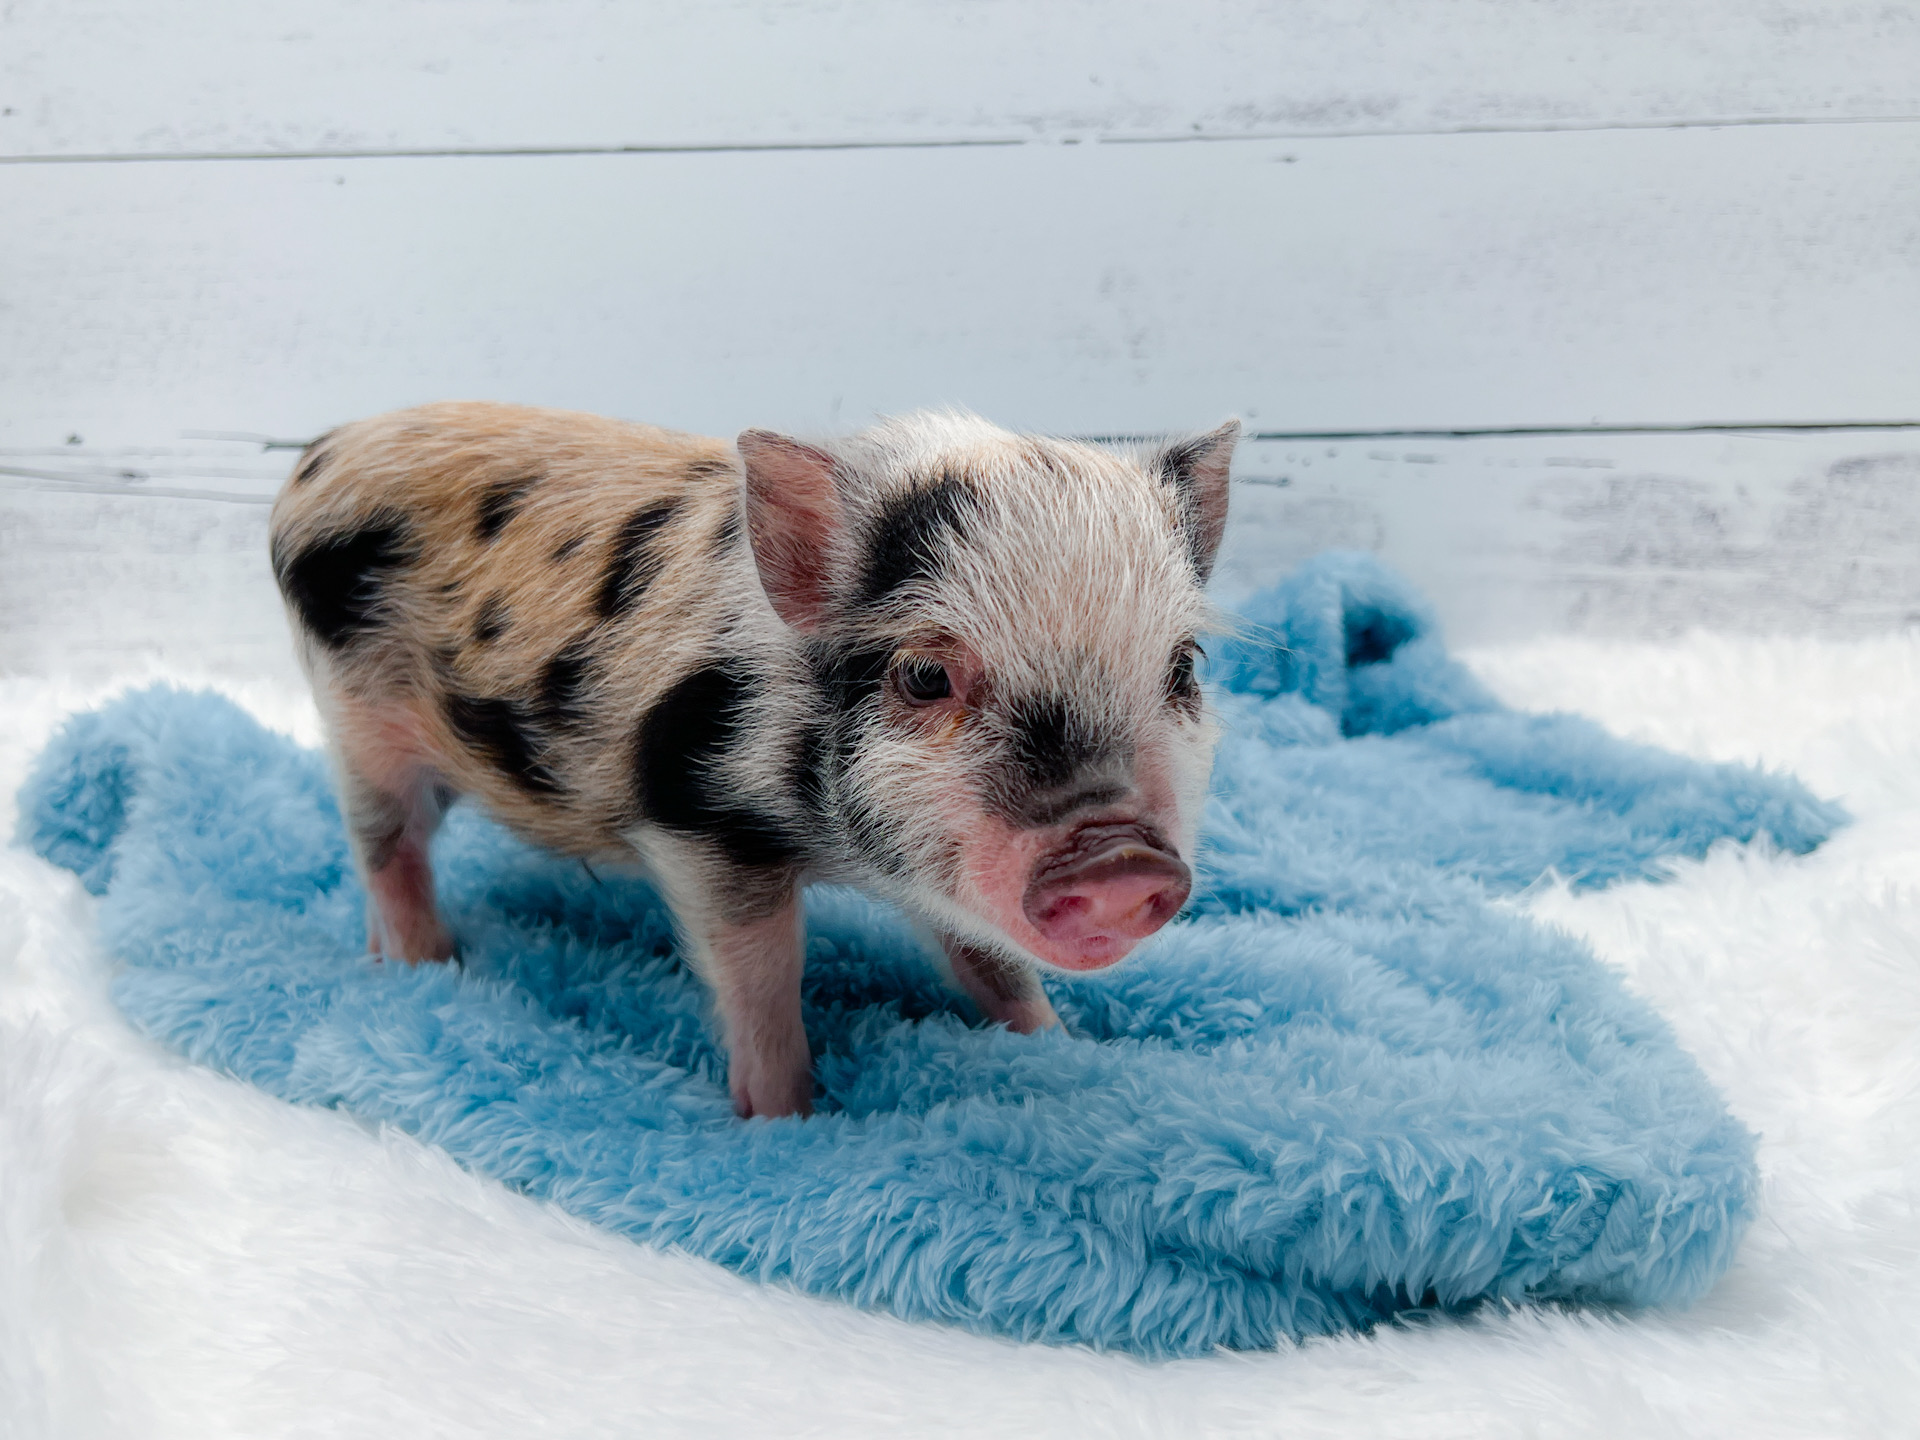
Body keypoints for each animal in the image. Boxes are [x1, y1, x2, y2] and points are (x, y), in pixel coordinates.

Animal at [268, 402, 1237, 1117]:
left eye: (1183, 669)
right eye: (925, 676)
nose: (1118, 855)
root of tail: (319, 454)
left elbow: (994, 965)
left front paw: (1066, 1050)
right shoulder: (698, 822)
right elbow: (763, 977)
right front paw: (787, 1121)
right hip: (355, 719)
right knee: (386, 847)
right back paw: (425, 970)